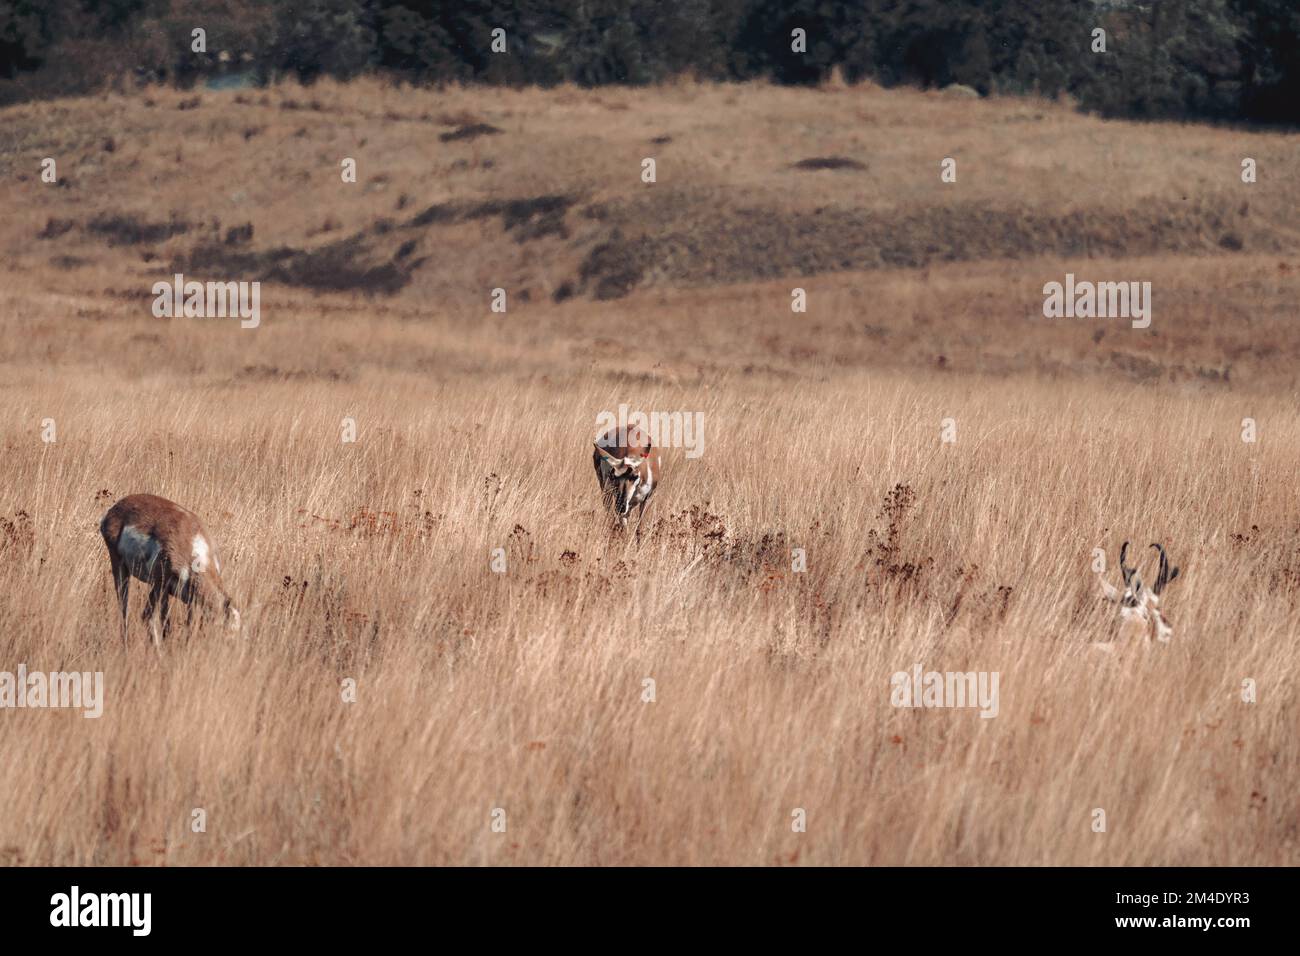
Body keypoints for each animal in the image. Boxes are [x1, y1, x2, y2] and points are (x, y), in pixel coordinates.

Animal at [100, 494, 241, 645]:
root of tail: (115, 508)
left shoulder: (187, 600)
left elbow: (188, 627)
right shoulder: (161, 587)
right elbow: (161, 624)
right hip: (121, 570)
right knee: (126, 612)